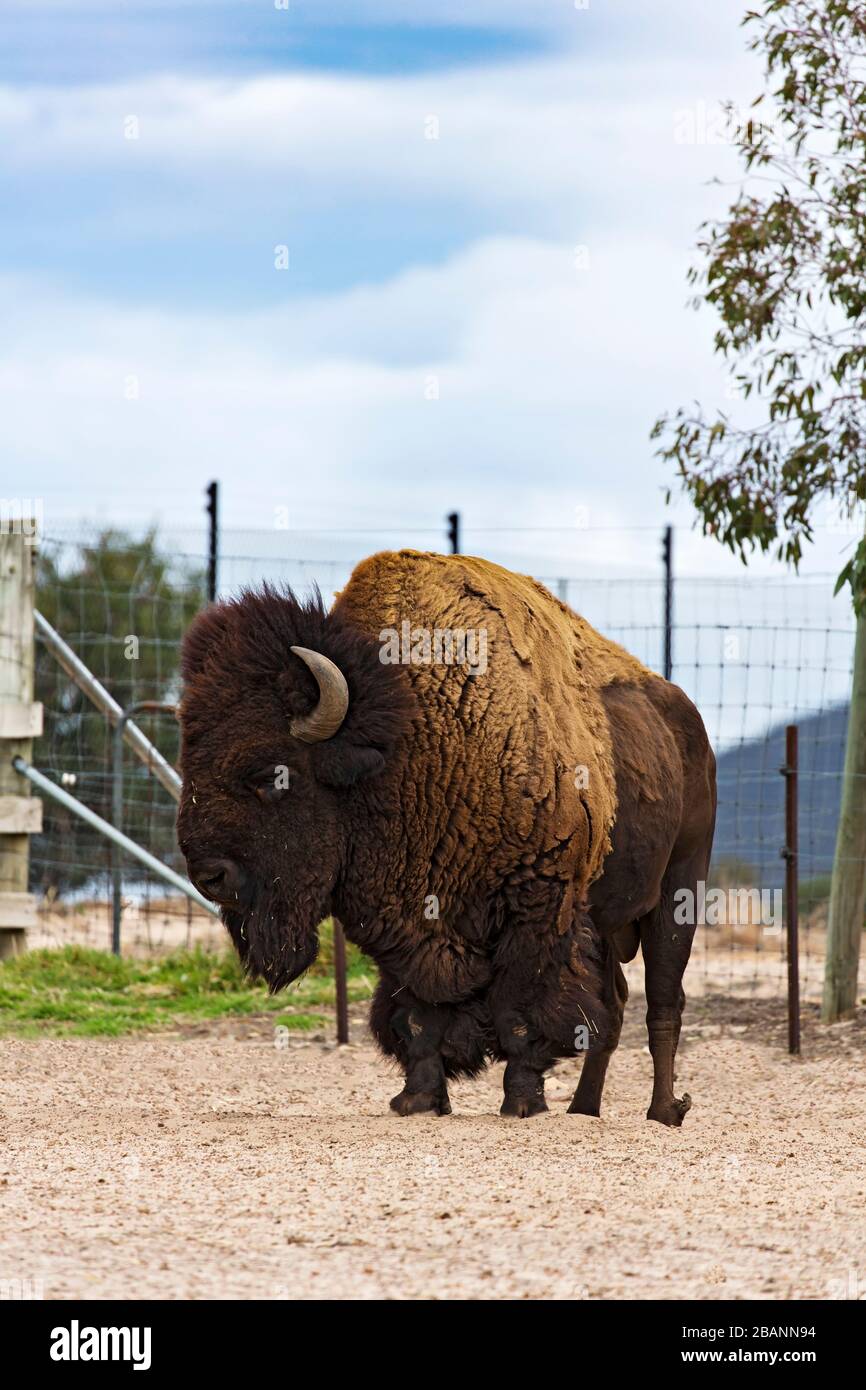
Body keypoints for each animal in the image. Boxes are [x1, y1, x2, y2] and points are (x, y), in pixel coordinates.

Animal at [177, 550, 715, 1125]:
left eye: (269, 775)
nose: (210, 875)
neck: (411, 744)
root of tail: (691, 730)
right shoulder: (406, 926)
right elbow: (419, 1014)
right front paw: (417, 1100)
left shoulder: (538, 911)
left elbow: (521, 1013)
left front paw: (521, 1103)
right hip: (610, 923)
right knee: (613, 1005)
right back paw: (583, 1109)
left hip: (678, 894)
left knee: (663, 1003)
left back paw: (663, 1111)